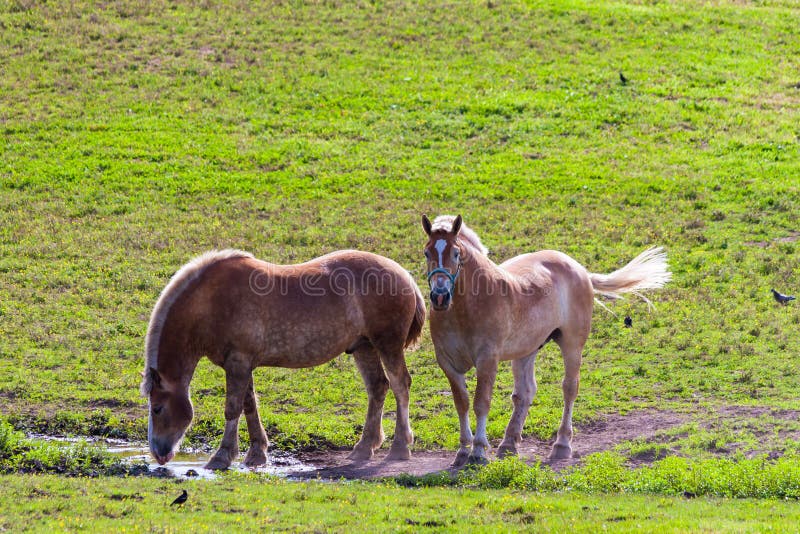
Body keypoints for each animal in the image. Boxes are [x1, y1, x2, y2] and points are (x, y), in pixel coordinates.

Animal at [140, 249, 426, 470]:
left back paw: (400, 447)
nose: (158, 454)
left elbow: (232, 408)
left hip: (388, 345)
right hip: (364, 348)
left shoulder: (238, 363)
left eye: (157, 408)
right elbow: (249, 405)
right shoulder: (242, 365)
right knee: (378, 387)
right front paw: (256, 453)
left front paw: (221, 457)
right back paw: (364, 447)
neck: (211, 302)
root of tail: (404, 275)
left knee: (400, 385)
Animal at [421, 214, 671, 466]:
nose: (440, 296)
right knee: (524, 393)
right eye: (426, 253)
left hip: (572, 345)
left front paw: (479, 451)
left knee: (569, 388)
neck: (466, 307)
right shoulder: (448, 363)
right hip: (527, 350)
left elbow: (481, 402)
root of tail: (580, 269)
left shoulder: (487, 360)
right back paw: (509, 444)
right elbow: (461, 403)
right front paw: (463, 450)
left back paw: (561, 445)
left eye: (456, 253)